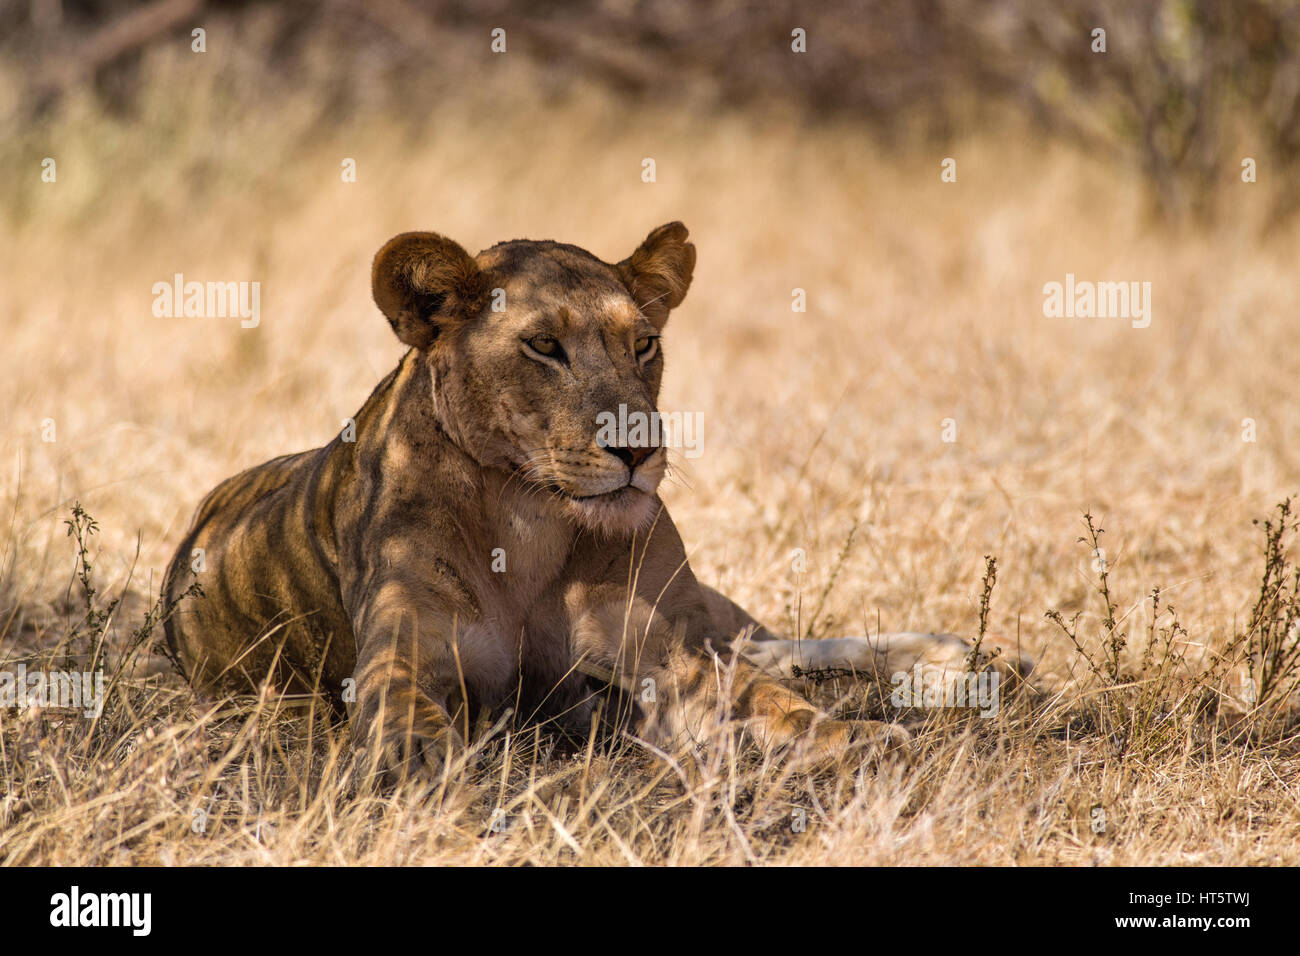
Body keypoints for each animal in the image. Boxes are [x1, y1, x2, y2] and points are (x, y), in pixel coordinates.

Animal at [163, 222, 1028, 784]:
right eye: (544, 346)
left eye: (644, 343)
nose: (638, 450)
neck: (530, 516)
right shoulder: (402, 650)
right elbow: (400, 705)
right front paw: (415, 758)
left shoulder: (665, 654)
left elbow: (771, 700)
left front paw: (850, 739)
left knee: (768, 648)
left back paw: (965, 665)